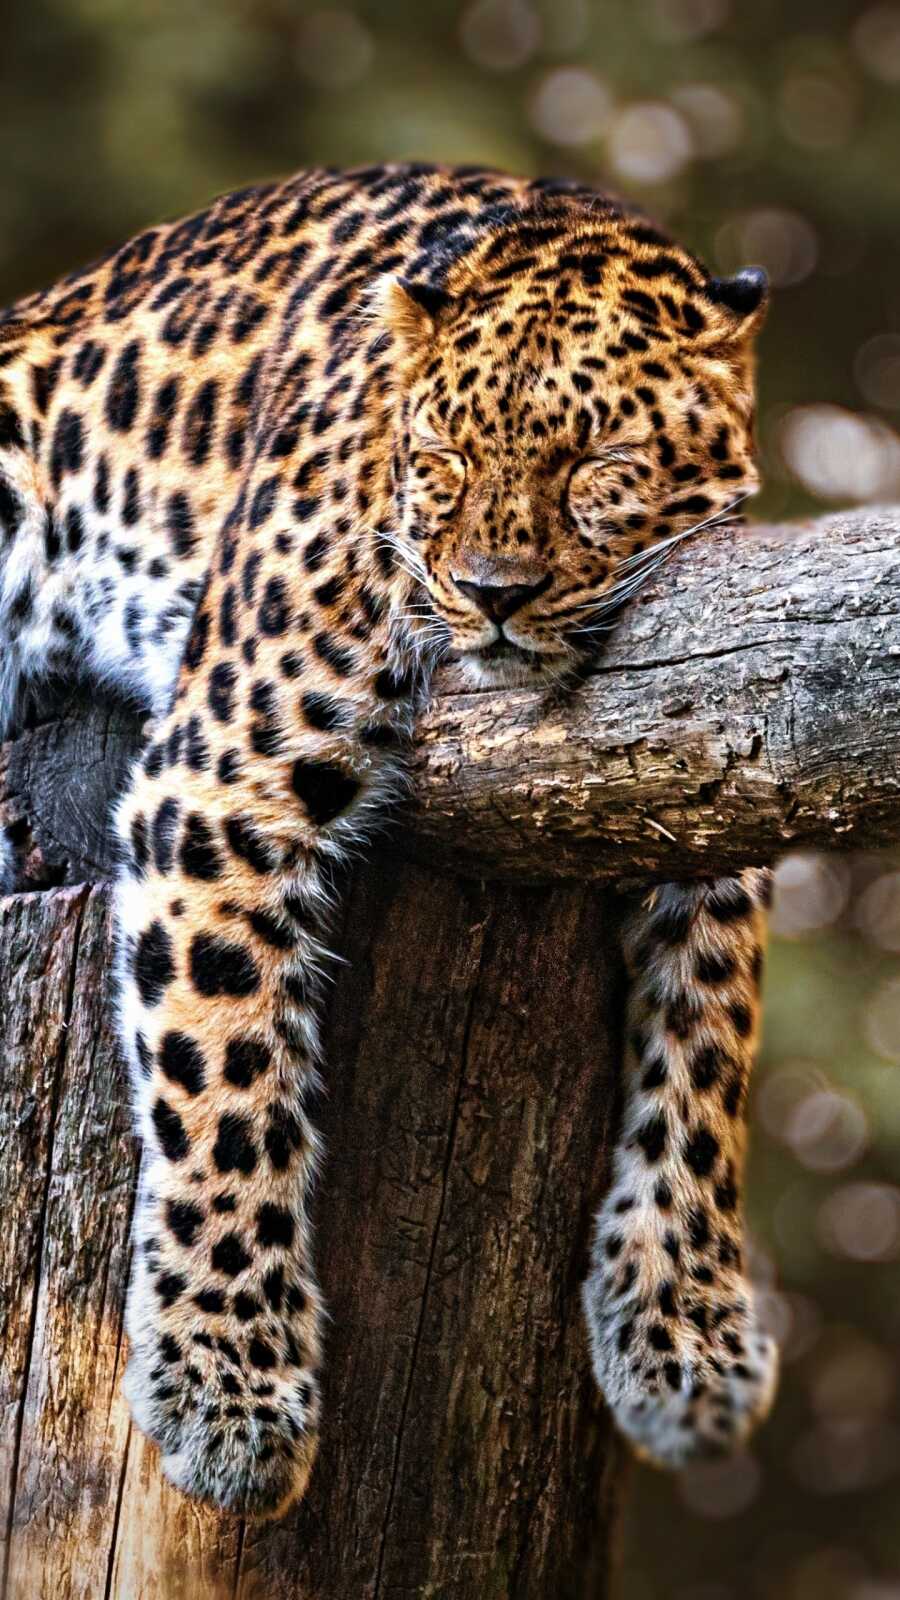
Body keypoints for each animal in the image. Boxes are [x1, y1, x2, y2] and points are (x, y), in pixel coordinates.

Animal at [0, 162, 778, 1519]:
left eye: (601, 464)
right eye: (447, 458)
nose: (492, 594)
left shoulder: (710, 785)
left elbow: (706, 1054)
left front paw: (681, 1333)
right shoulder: (222, 780)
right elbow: (223, 1080)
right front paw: (227, 1391)